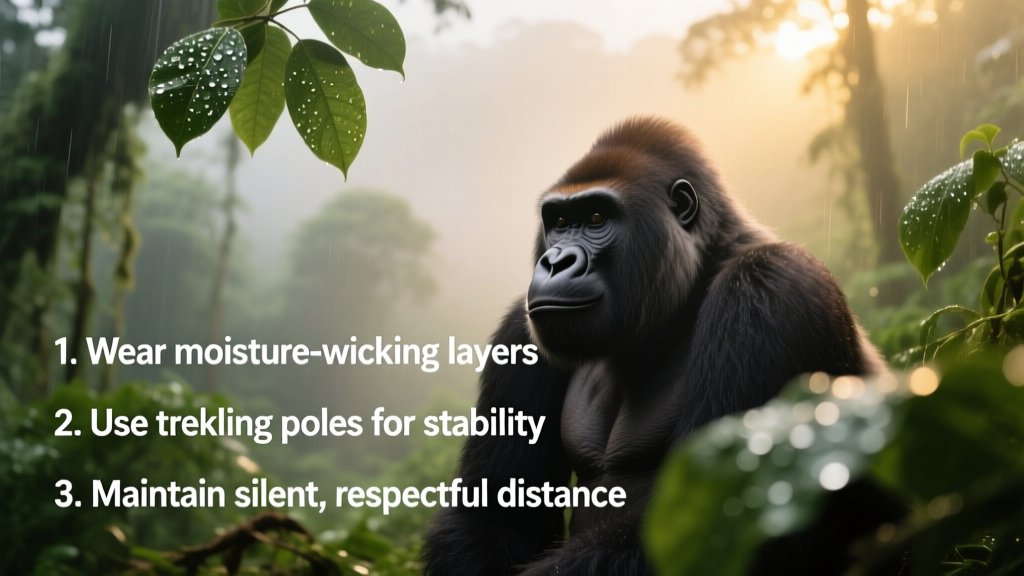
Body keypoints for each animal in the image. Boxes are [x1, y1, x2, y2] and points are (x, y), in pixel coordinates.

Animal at [422, 117, 899, 575]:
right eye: (558, 223)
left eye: (597, 219)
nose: (555, 263)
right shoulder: (520, 331)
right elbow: (494, 519)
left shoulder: (773, 289)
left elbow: (715, 527)